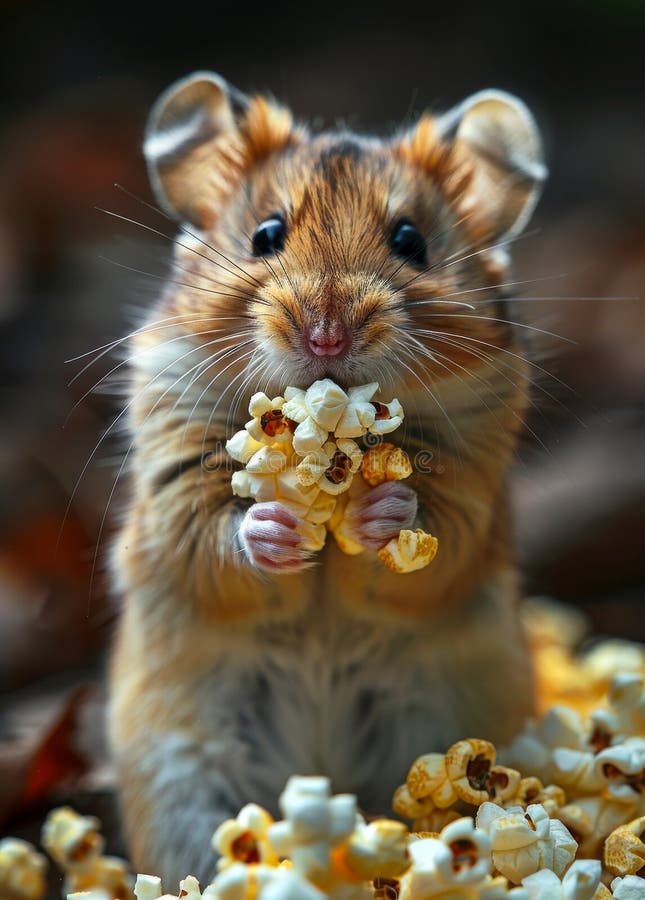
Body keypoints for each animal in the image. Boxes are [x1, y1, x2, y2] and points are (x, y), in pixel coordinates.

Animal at [108, 72, 547, 883]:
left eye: (411, 242)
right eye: (265, 234)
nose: (326, 336)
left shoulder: (475, 495)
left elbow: (430, 539)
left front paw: (384, 513)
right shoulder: (171, 487)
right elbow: (215, 539)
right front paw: (277, 529)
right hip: (182, 780)